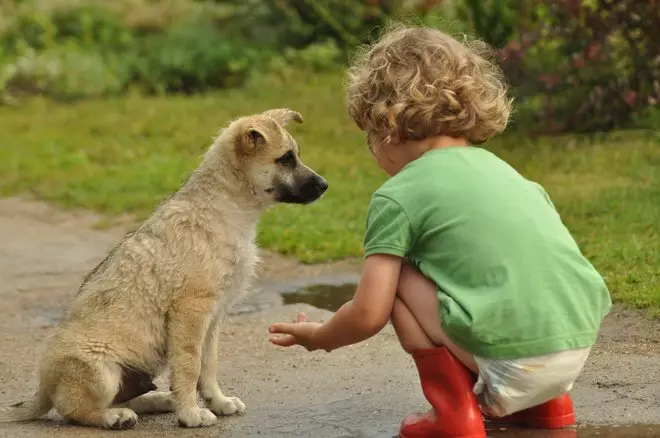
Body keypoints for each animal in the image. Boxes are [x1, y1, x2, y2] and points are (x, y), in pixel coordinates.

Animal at [0, 108, 328, 430]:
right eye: (286, 158)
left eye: (294, 155)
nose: (326, 186)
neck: (225, 209)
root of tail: (43, 389)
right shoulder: (191, 312)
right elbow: (189, 367)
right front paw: (191, 414)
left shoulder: (214, 318)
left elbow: (208, 365)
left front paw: (218, 402)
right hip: (102, 371)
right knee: (75, 409)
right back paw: (115, 418)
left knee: (121, 399)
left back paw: (159, 400)